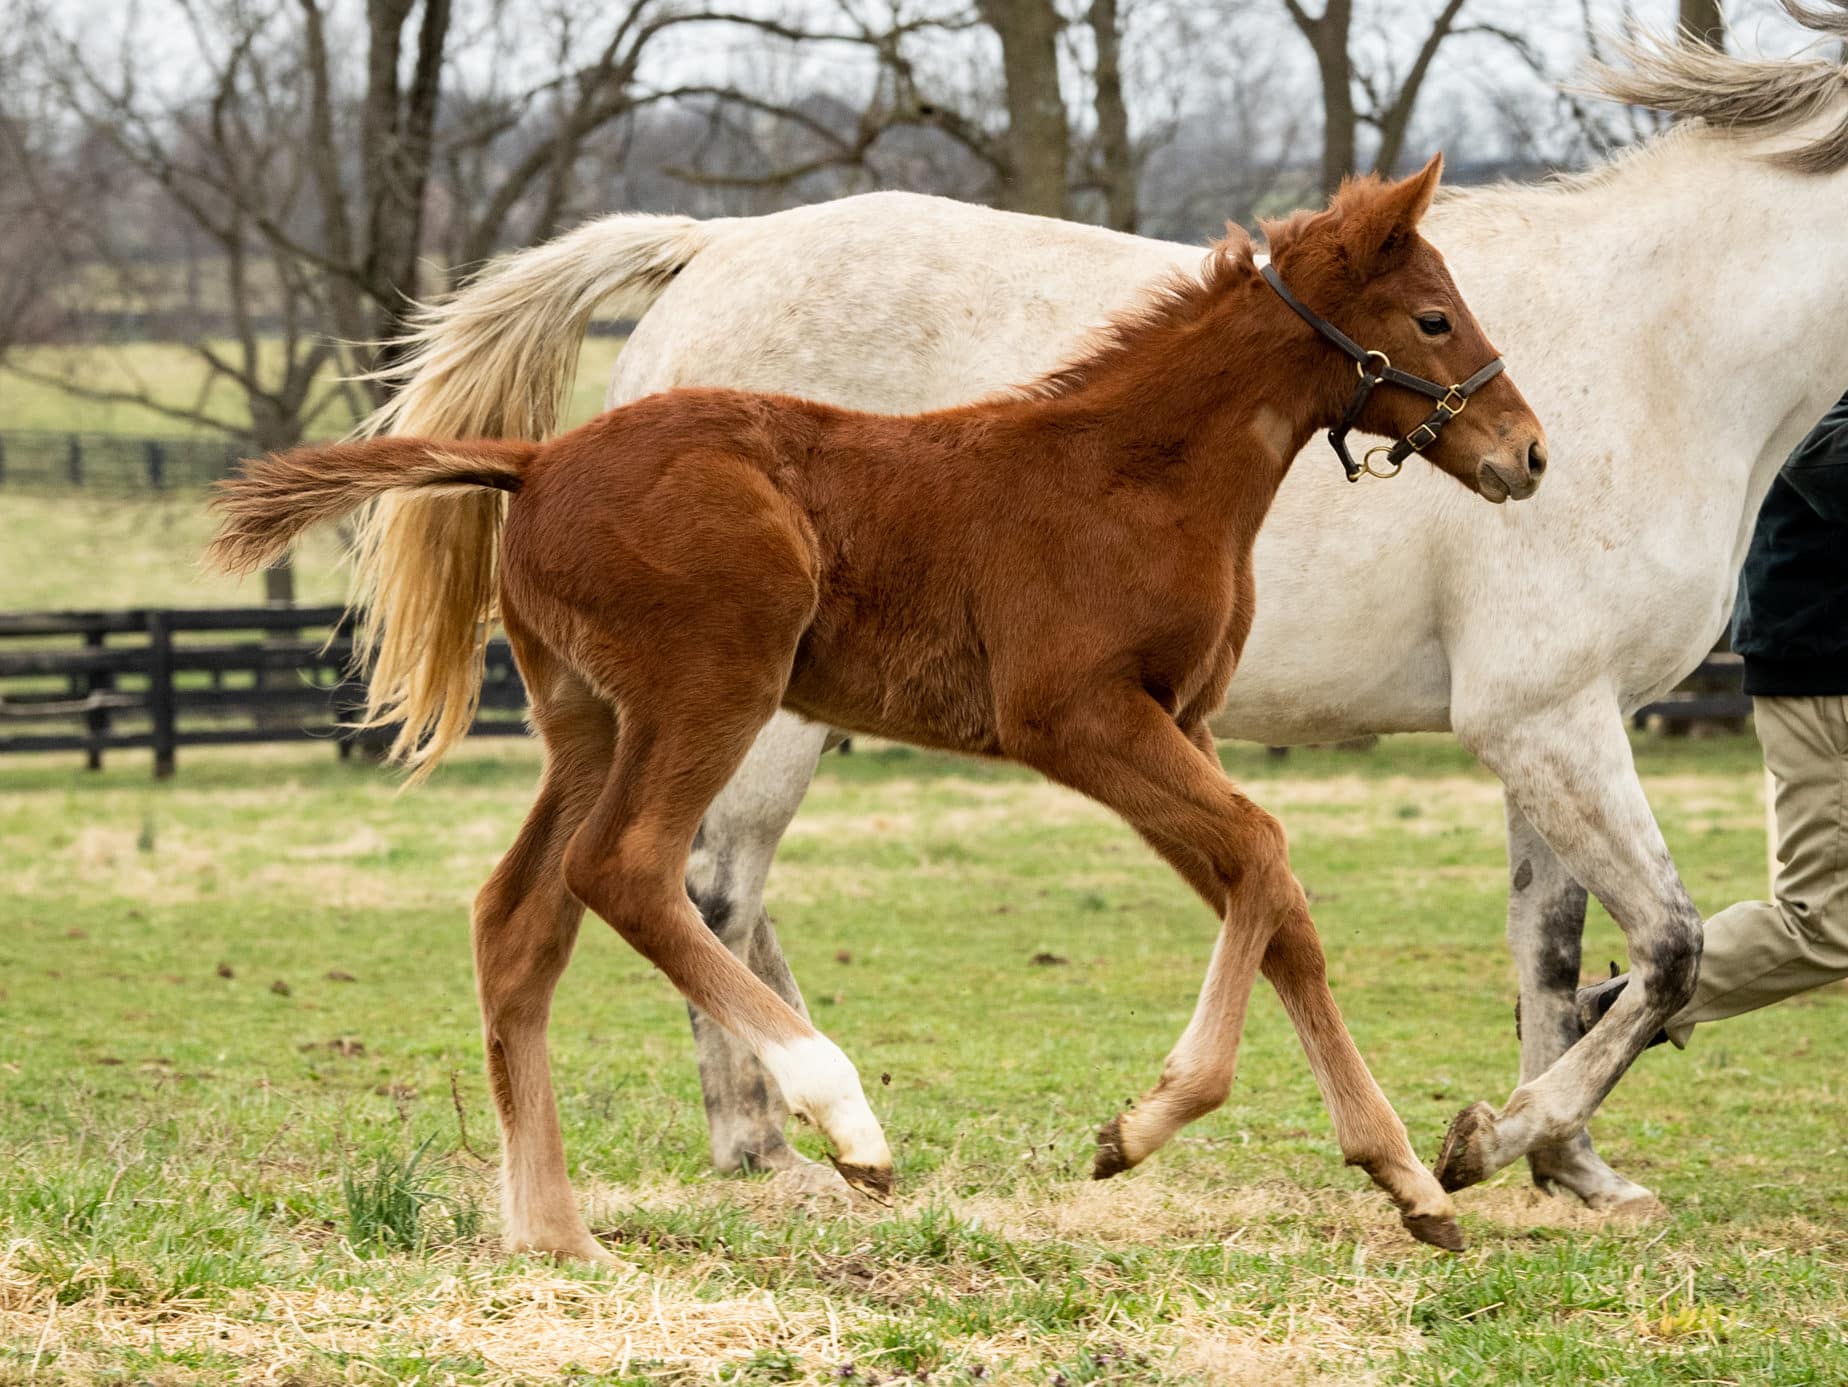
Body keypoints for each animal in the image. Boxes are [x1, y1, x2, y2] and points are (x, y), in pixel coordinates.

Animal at [210, 160, 1545, 1260]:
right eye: (1433, 317)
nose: (1527, 451)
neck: (1136, 475)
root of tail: (534, 460)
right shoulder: (1081, 719)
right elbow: (1263, 854)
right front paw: (1146, 1121)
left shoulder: (1181, 721)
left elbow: (1273, 904)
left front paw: (1409, 1180)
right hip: (713, 694)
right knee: (628, 870)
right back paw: (841, 1119)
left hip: (589, 721)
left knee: (517, 919)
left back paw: (556, 1232)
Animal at [337, 3, 1848, 1218]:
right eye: (1430, 319)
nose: (1527, 458)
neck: (1668, 346)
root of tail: (712, 246)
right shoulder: (1542, 712)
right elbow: (1663, 948)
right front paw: (1501, 1138)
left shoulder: (1559, 718)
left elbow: (1562, 951)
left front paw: (1544, 1158)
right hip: (750, 707)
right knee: (703, 879)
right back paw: (780, 1133)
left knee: (666, 889)